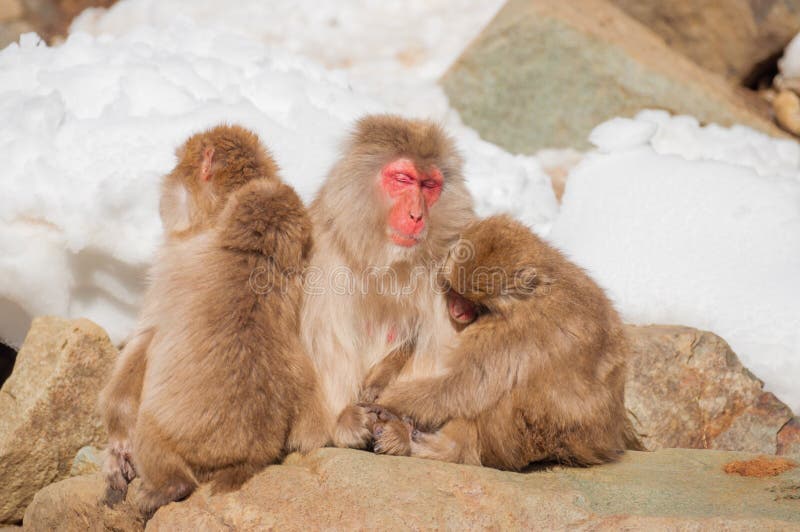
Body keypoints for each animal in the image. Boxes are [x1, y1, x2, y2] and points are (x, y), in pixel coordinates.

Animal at [98, 125, 331, 514]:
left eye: (178, 164)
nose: (167, 181)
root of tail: (251, 453)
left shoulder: (170, 263)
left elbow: (145, 338)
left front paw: (117, 439)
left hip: (174, 435)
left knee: (153, 432)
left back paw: (168, 487)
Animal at [298, 115, 476, 448]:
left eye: (429, 185)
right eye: (403, 179)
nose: (417, 215)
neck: (388, 261)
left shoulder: (453, 261)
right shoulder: (323, 254)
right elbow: (326, 339)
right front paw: (346, 423)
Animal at [364, 214, 642, 470]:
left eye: (474, 303)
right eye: (455, 292)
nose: (457, 311)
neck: (538, 288)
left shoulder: (514, 330)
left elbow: (464, 385)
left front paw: (387, 402)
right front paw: (378, 384)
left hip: (536, 435)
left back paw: (435, 446)